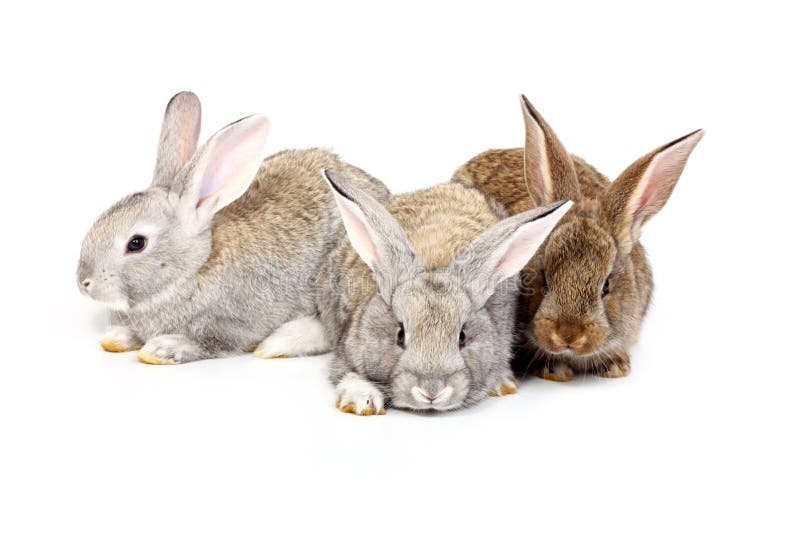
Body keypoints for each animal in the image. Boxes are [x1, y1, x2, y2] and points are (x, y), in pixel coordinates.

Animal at [76, 91, 389, 364]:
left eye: (136, 243)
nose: (84, 283)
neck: (195, 268)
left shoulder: (233, 324)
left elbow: (211, 343)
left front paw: (164, 348)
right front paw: (118, 337)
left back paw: (278, 344)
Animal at [267, 170, 570, 415]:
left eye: (462, 337)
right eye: (400, 334)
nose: (431, 392)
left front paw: (503, 383)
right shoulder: (347, 353)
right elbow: (347, 375)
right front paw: (362, 401)